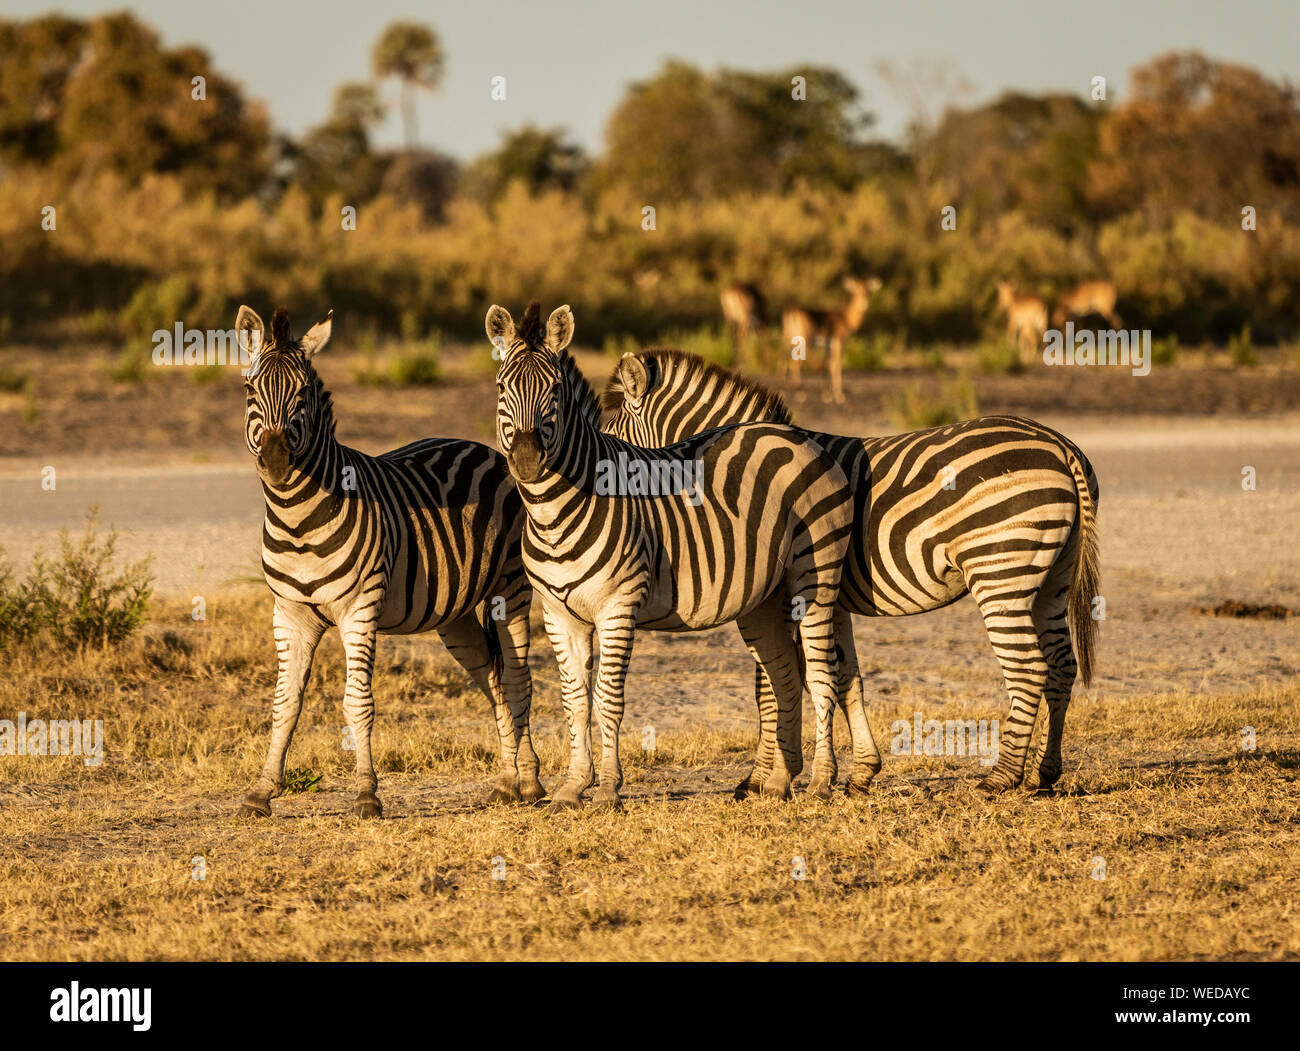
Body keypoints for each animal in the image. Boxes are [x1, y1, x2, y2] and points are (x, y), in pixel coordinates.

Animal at [235, 304, 542, 818]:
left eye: (302, 393)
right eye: (250, 391)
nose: (276, 463)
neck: (297, 519)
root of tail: (485, 449)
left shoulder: (360, 609)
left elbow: (357, 702)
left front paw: (366, 795)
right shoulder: (290, 614)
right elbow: (284, 703)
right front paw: (260, 793)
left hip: (510, 589)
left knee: (518, 678)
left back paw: (532, 783)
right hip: (455, 615)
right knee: (493, 682)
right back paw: (505, 781)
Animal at [488, 301, 855, 808]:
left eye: (555, 391)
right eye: (502, 388)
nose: (525, 460)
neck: (553, 514)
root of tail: (798, 437)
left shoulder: (617, 607)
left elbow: (607, 699)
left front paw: (608, 790)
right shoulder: (558, 614)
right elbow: (574, 700)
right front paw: (572, 787)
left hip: (814, 580)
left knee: (820, 675)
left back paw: (821, 782)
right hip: (764, 598)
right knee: (784, 677)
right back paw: (780, 784)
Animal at [602, 349, 1101, 795]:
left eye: (609, 442)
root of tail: (1059, 445)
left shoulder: (785, 594)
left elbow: (773, 684)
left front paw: (763, 778)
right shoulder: (829, 598)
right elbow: (845, 679)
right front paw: (861, 772)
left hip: (999, 571)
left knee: (1028, 669)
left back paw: (1001, 777)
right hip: (1051, 579)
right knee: (1061, 664)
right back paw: (1045, 774)